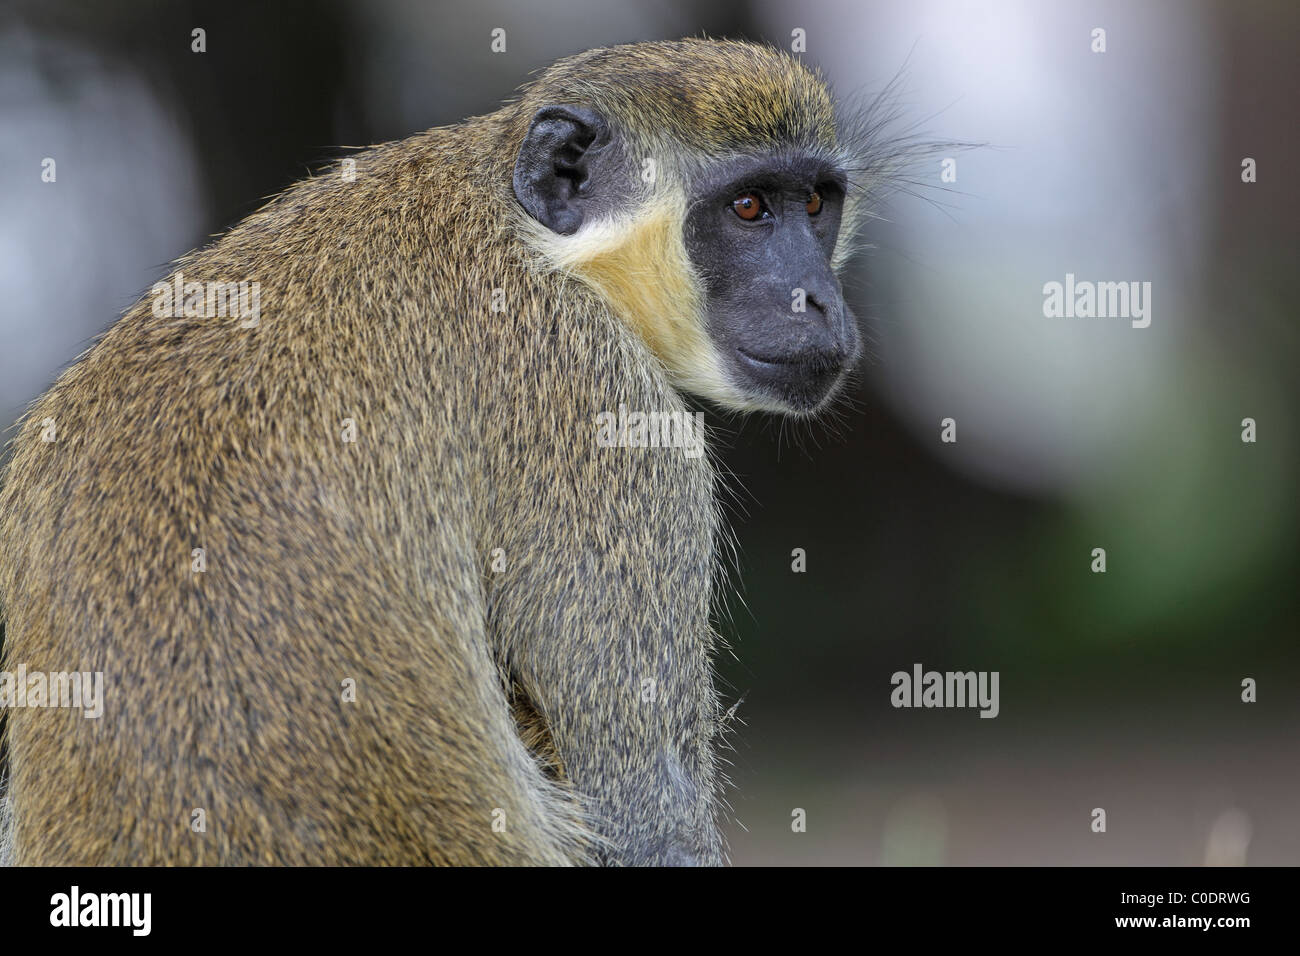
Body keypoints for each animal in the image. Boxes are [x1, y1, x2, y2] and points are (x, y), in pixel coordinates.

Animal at [0, 38, 879, 865]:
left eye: (813, 203)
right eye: (749, 208)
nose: (818, 300)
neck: (531, 236)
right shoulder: (598, 404)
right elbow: (646, 816)